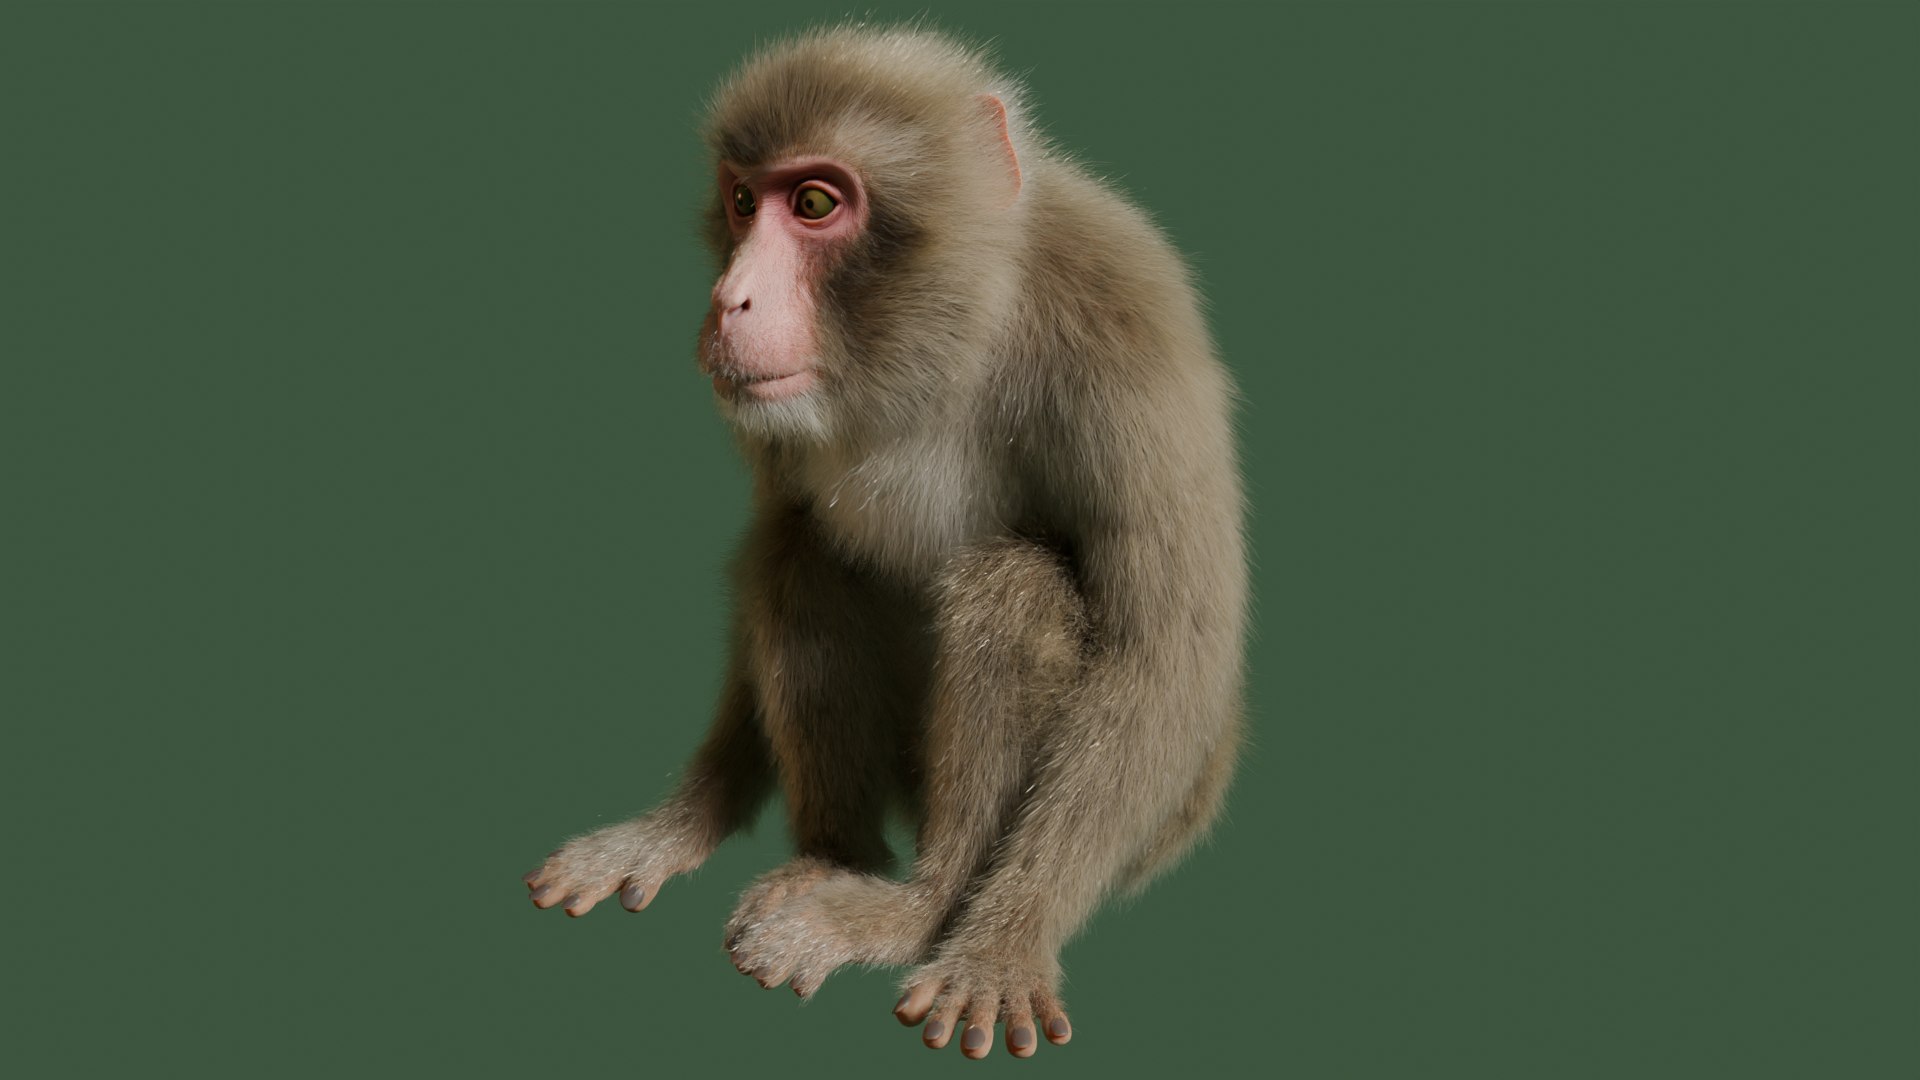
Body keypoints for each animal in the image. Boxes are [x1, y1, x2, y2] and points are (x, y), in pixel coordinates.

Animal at [522, 26, 1247, 1059]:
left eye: (816, 204)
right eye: (742, 201)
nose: (731, 299)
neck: (951, 335)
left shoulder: (1124, 325)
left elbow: (1163, 661)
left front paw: (999, 947)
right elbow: (779, 532)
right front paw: (682, 822)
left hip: (1173, 814)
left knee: (1012, 588)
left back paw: (918, 909)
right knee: (798, 554)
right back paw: (833, 858)